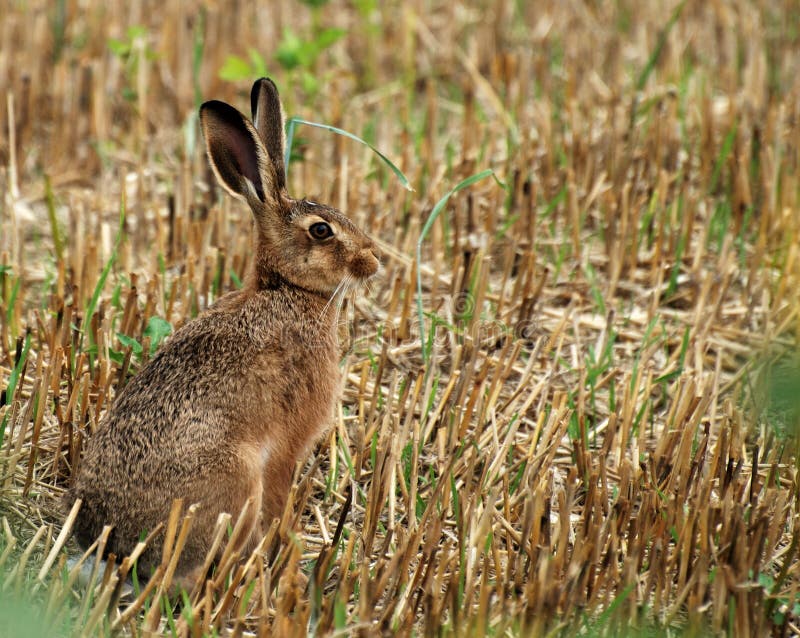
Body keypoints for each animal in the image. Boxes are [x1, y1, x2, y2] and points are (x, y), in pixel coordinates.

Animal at [65, 78, 380, 589]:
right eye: (321, 231)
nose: (374, 261)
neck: (286, 290)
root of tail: (114, 546)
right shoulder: (286, 447)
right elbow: (278, 504)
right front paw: (282, 556)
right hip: (235, 478)